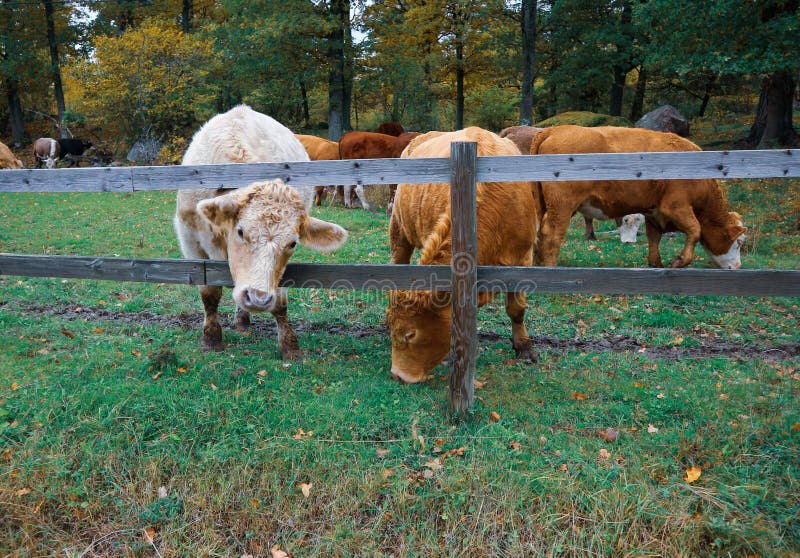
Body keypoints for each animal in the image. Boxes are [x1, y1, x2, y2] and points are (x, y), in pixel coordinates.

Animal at [174, 105, 348, 359]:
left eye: (293, 243)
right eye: (240, 232)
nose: (257, 297)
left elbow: (280, 303)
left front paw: (290, 346)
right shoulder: (191, 242)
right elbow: (209, 294)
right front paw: (211, 338)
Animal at [386, 127, 541, 383]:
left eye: (411, 334)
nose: (399, 375)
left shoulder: (523, 259)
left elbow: (516, 308)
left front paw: (524, 347)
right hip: (399, 230)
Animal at [531, 125, 746, 269]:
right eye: (738, 243)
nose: (738, 266)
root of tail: (553, 130)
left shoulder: (653, 211)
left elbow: (654, 237)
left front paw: (656, 263)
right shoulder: (676, 206)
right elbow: (695, 230)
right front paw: (679, 261)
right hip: (562, 205)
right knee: (552, 232)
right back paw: (550, 265)